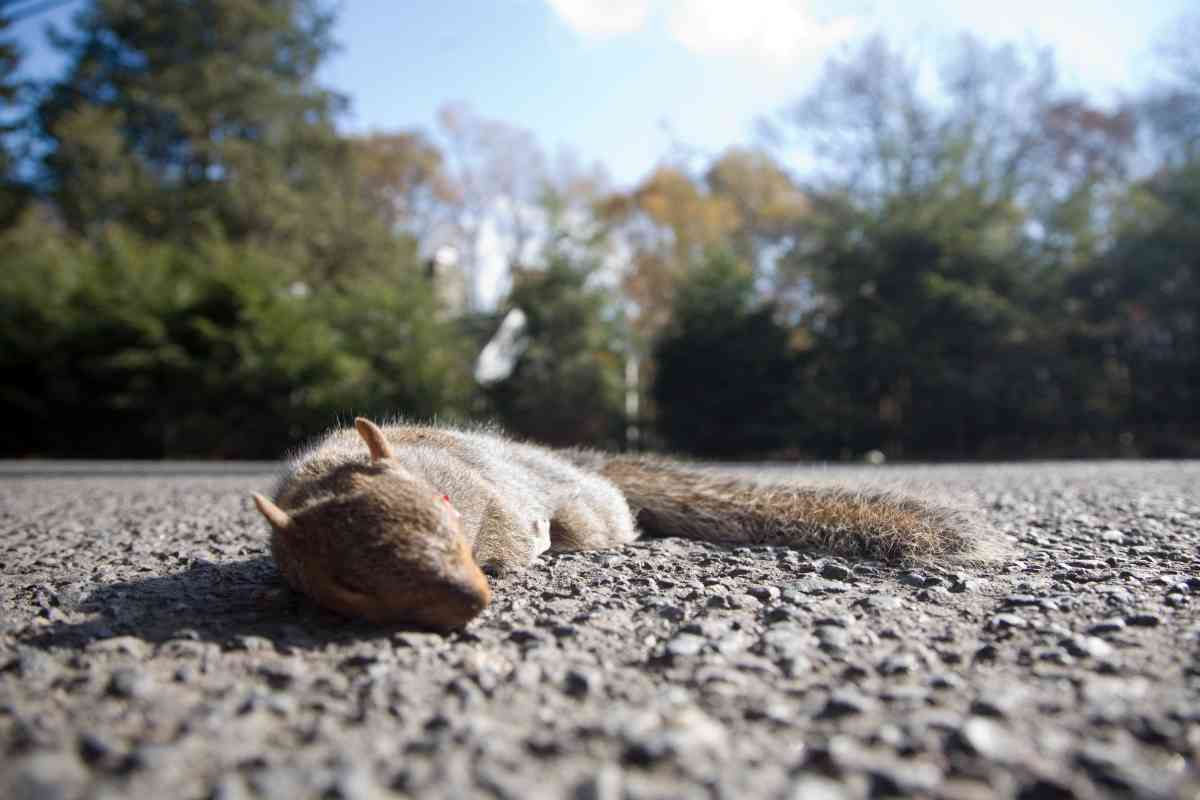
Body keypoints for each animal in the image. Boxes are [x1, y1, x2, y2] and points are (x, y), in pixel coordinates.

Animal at [252, 418, 994, 628]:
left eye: (440, 507)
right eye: (349, 585)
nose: (467, 598)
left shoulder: (484, 494)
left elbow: (508, 524)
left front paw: (520, 549)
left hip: (583, 508)